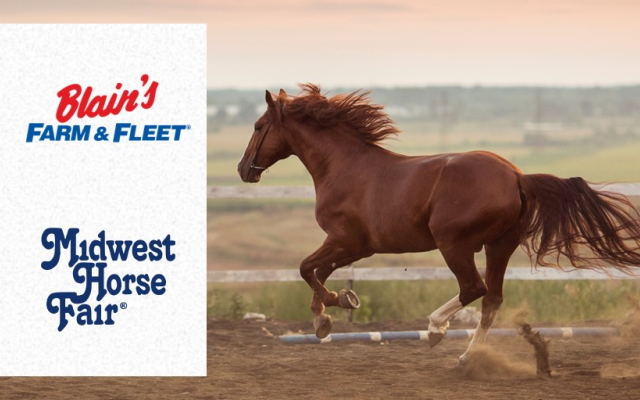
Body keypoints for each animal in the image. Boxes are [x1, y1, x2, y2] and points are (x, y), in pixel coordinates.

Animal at [237, 84, 640, 364]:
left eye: (258, 126)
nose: (243, 170)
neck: (343, 166)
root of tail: (516, 176)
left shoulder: (347, 241)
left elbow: (306, 268)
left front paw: (330, 311)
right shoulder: (355, 248)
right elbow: (316, 271)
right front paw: (334, 308)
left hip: (454, 244)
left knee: (474, 289)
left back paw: (435, 328)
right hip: (499, 246)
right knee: (492, 299)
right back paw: (468, 357)